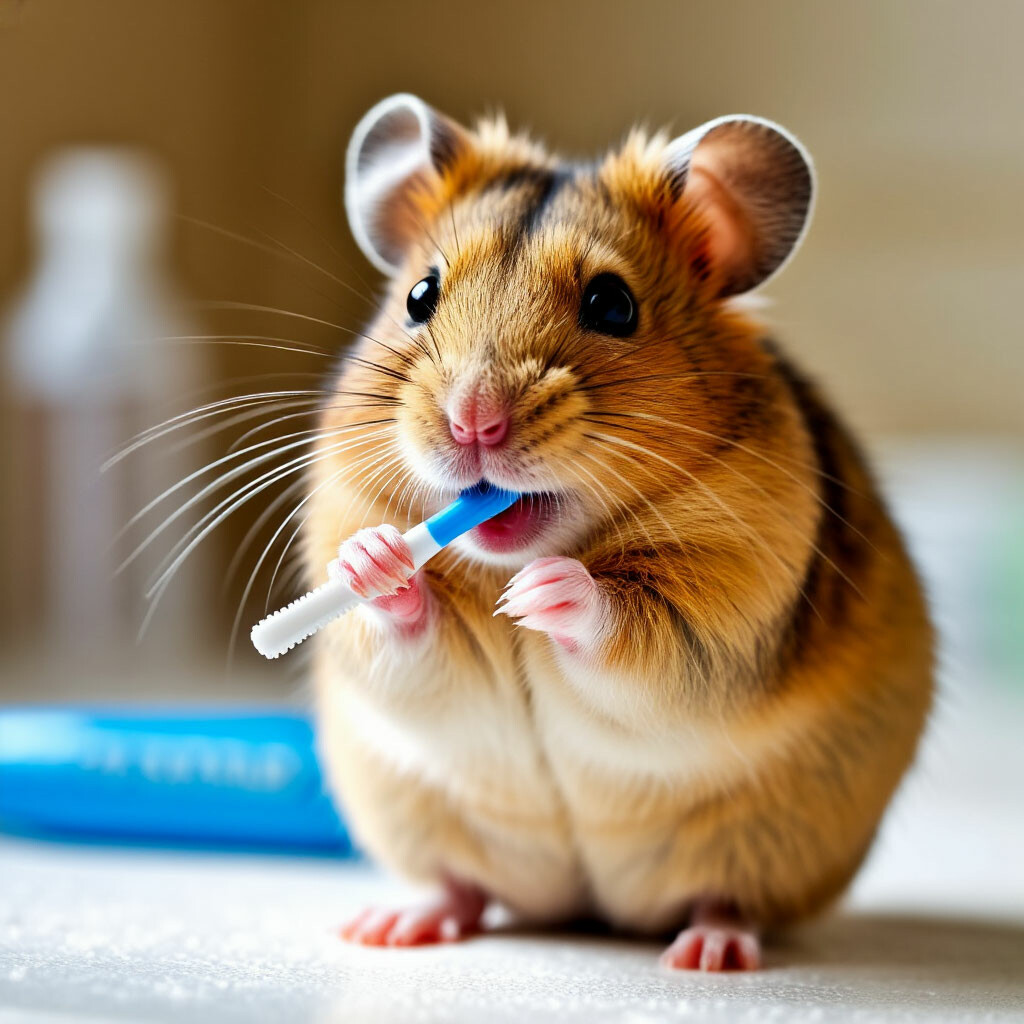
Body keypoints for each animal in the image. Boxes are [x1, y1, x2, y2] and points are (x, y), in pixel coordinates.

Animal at [307, 94, 933, 970]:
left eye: (613, 304)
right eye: (420, 296)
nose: (473, 421)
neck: (516, 548)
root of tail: (594, 911)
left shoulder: (721, 610)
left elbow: (624, 626)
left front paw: (542, 594)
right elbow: (412, 636)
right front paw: (373, 561)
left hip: (768, 848)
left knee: (727, 898)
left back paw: (709, 951)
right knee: (461, 887)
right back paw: (393, 925)